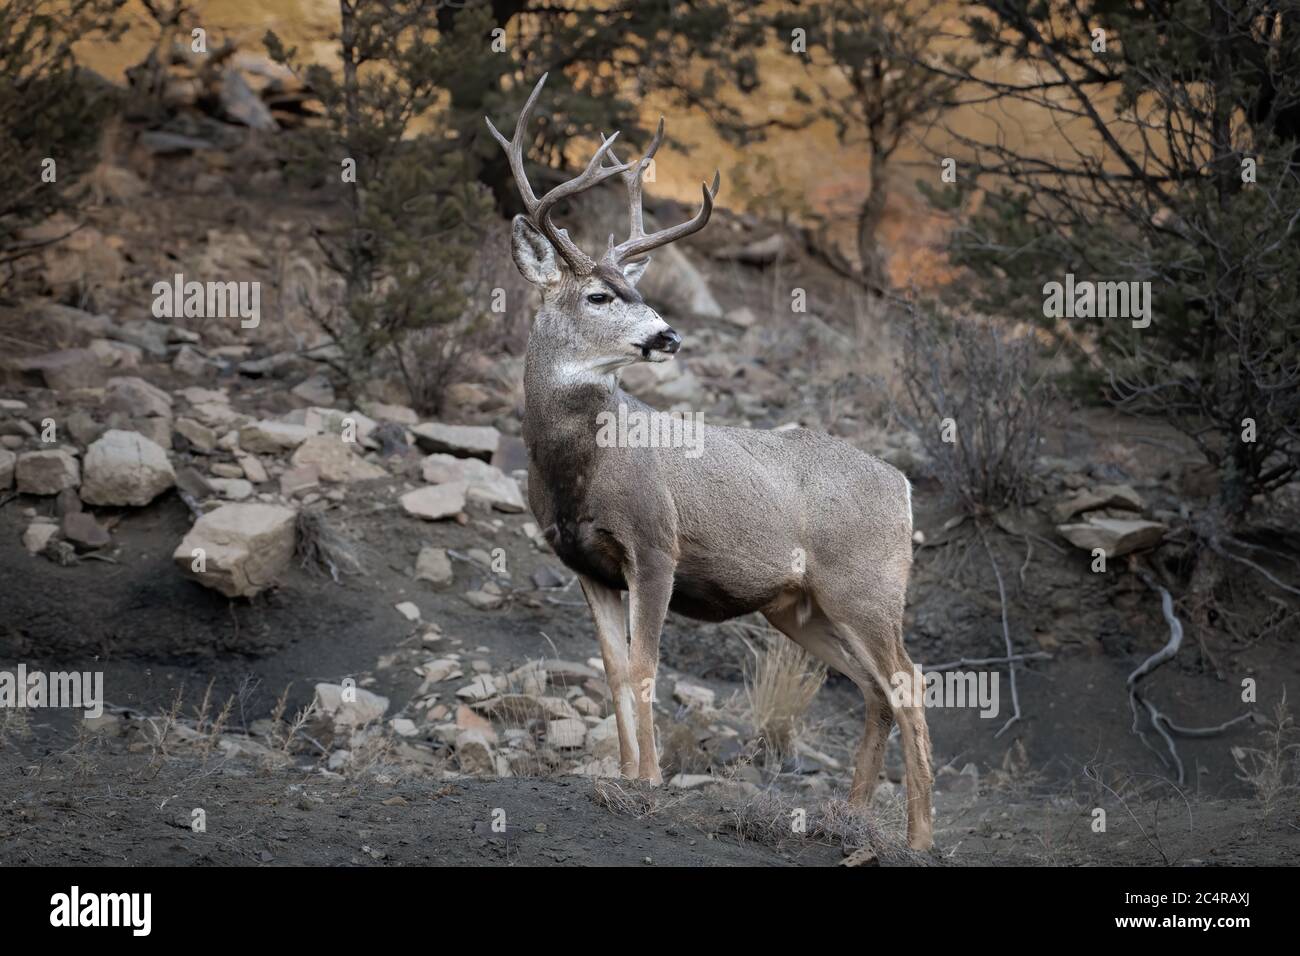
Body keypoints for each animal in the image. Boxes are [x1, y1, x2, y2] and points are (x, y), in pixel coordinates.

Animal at [486, 75, 934, 850]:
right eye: (599, 294)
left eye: (638, 291)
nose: (668, 335)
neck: (579, 470)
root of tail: (902, 484)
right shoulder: (586, 564)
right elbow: (612, 669)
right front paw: (622, 774)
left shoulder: (656, 543)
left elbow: (645, 664)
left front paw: (647, 780)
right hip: (802, 606)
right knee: (876, 689)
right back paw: (849, 818)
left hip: (868, 585)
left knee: (911, 683)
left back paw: (919, 839)